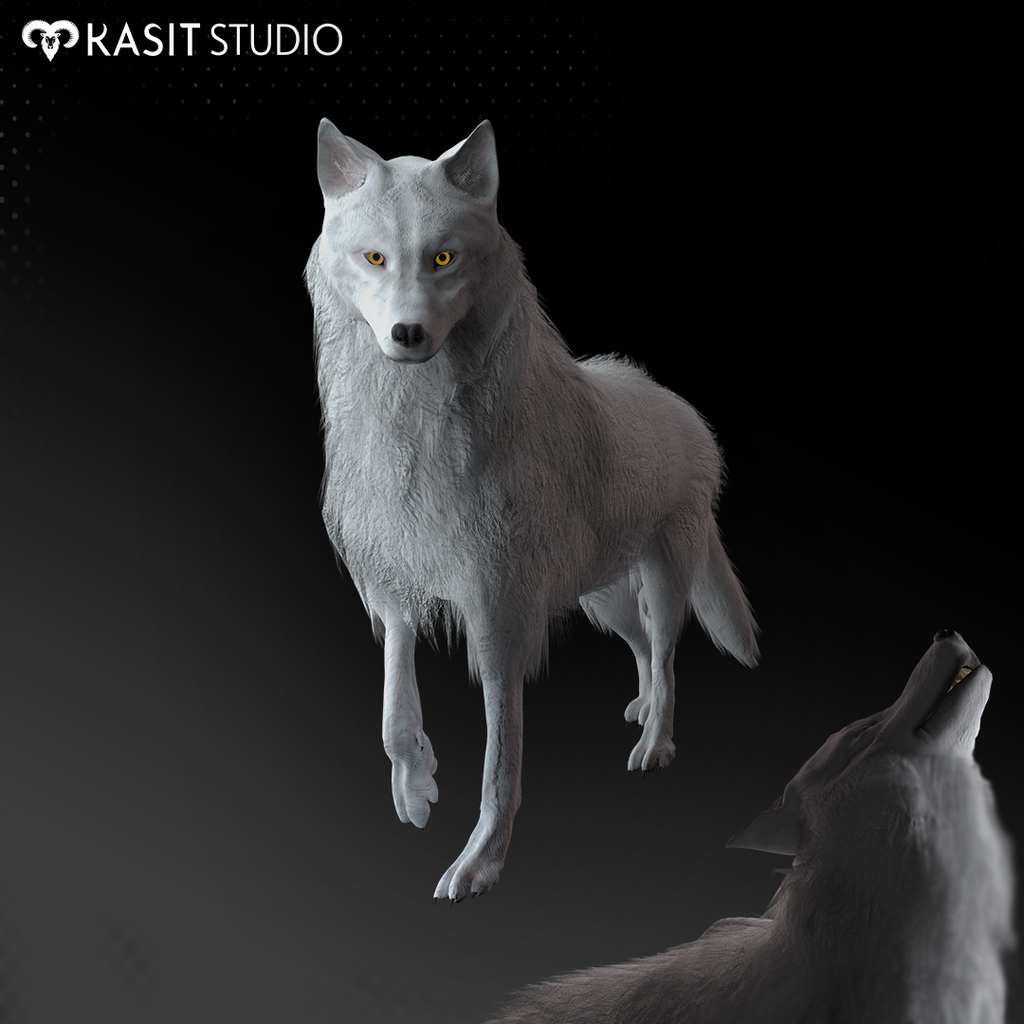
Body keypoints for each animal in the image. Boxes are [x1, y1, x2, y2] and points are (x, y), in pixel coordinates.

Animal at [305, 120, 759, 902]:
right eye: (375, 257)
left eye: (444, 258)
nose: (407, 335)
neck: (419, 429)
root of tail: (682, 409)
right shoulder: (397, 585)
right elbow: (394, 713)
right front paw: (417, 787)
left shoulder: (498, 612)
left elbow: (501, 759)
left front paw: (479, 863)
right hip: (600, 596)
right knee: (643, 649)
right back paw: (640, 709)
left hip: (663, 576)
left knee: (670, 657)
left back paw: (654, 742)